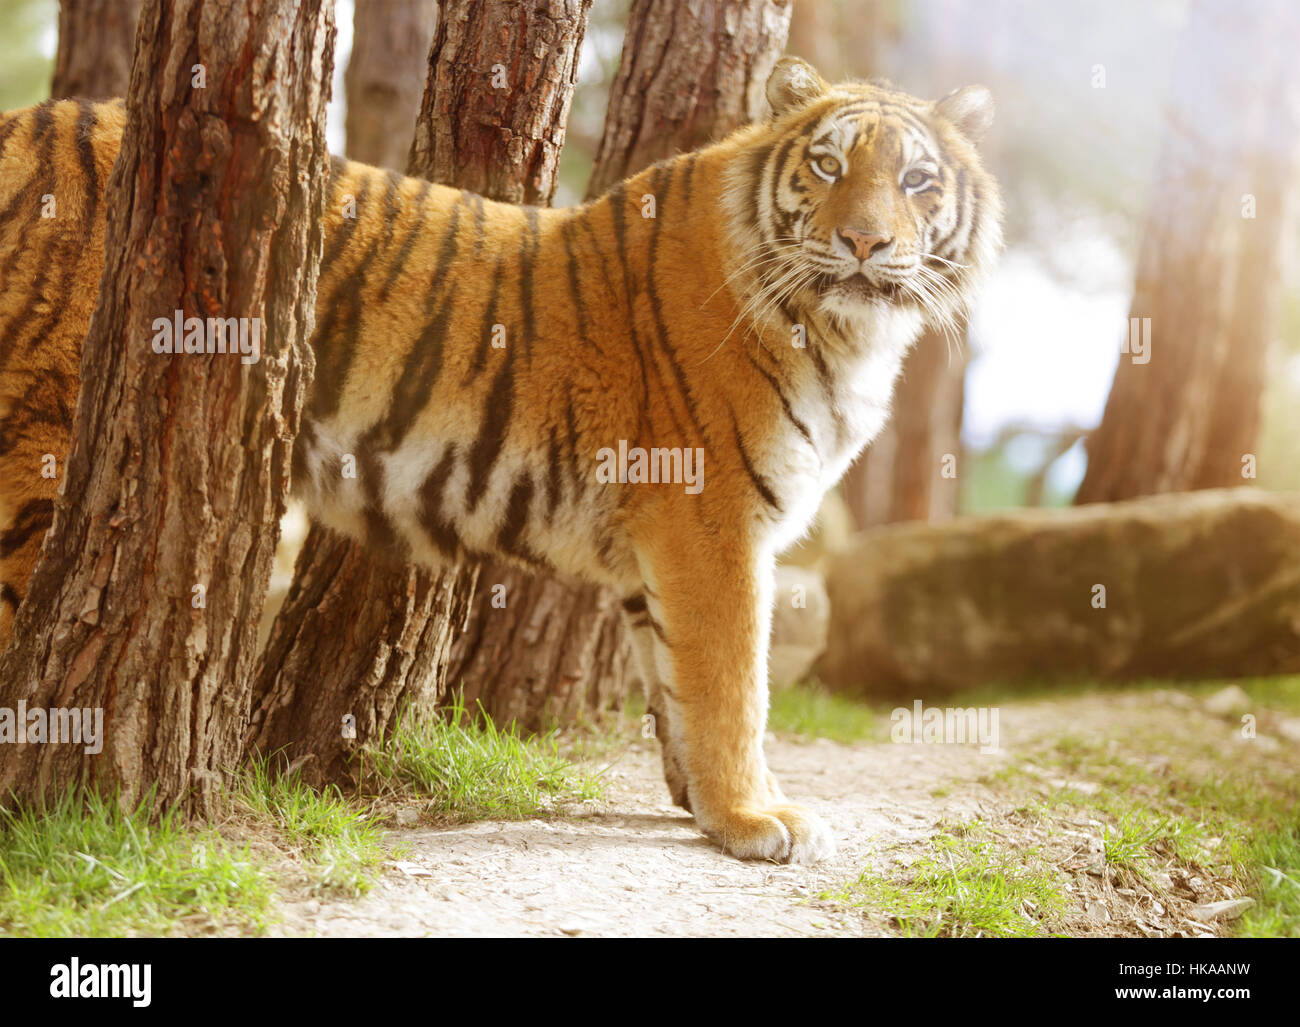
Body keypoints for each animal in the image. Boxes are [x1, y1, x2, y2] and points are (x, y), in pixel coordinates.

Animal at [0, 58, 1001, 864]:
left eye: (916, 180)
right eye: (828, 165)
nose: (865, 243)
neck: (847, 330)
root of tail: (30, 118)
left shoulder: (663, 546)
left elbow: (675, 682)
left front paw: (701, 806)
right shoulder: (713, 522)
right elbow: (732, 682)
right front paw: (756, 818)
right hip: (36, 449)